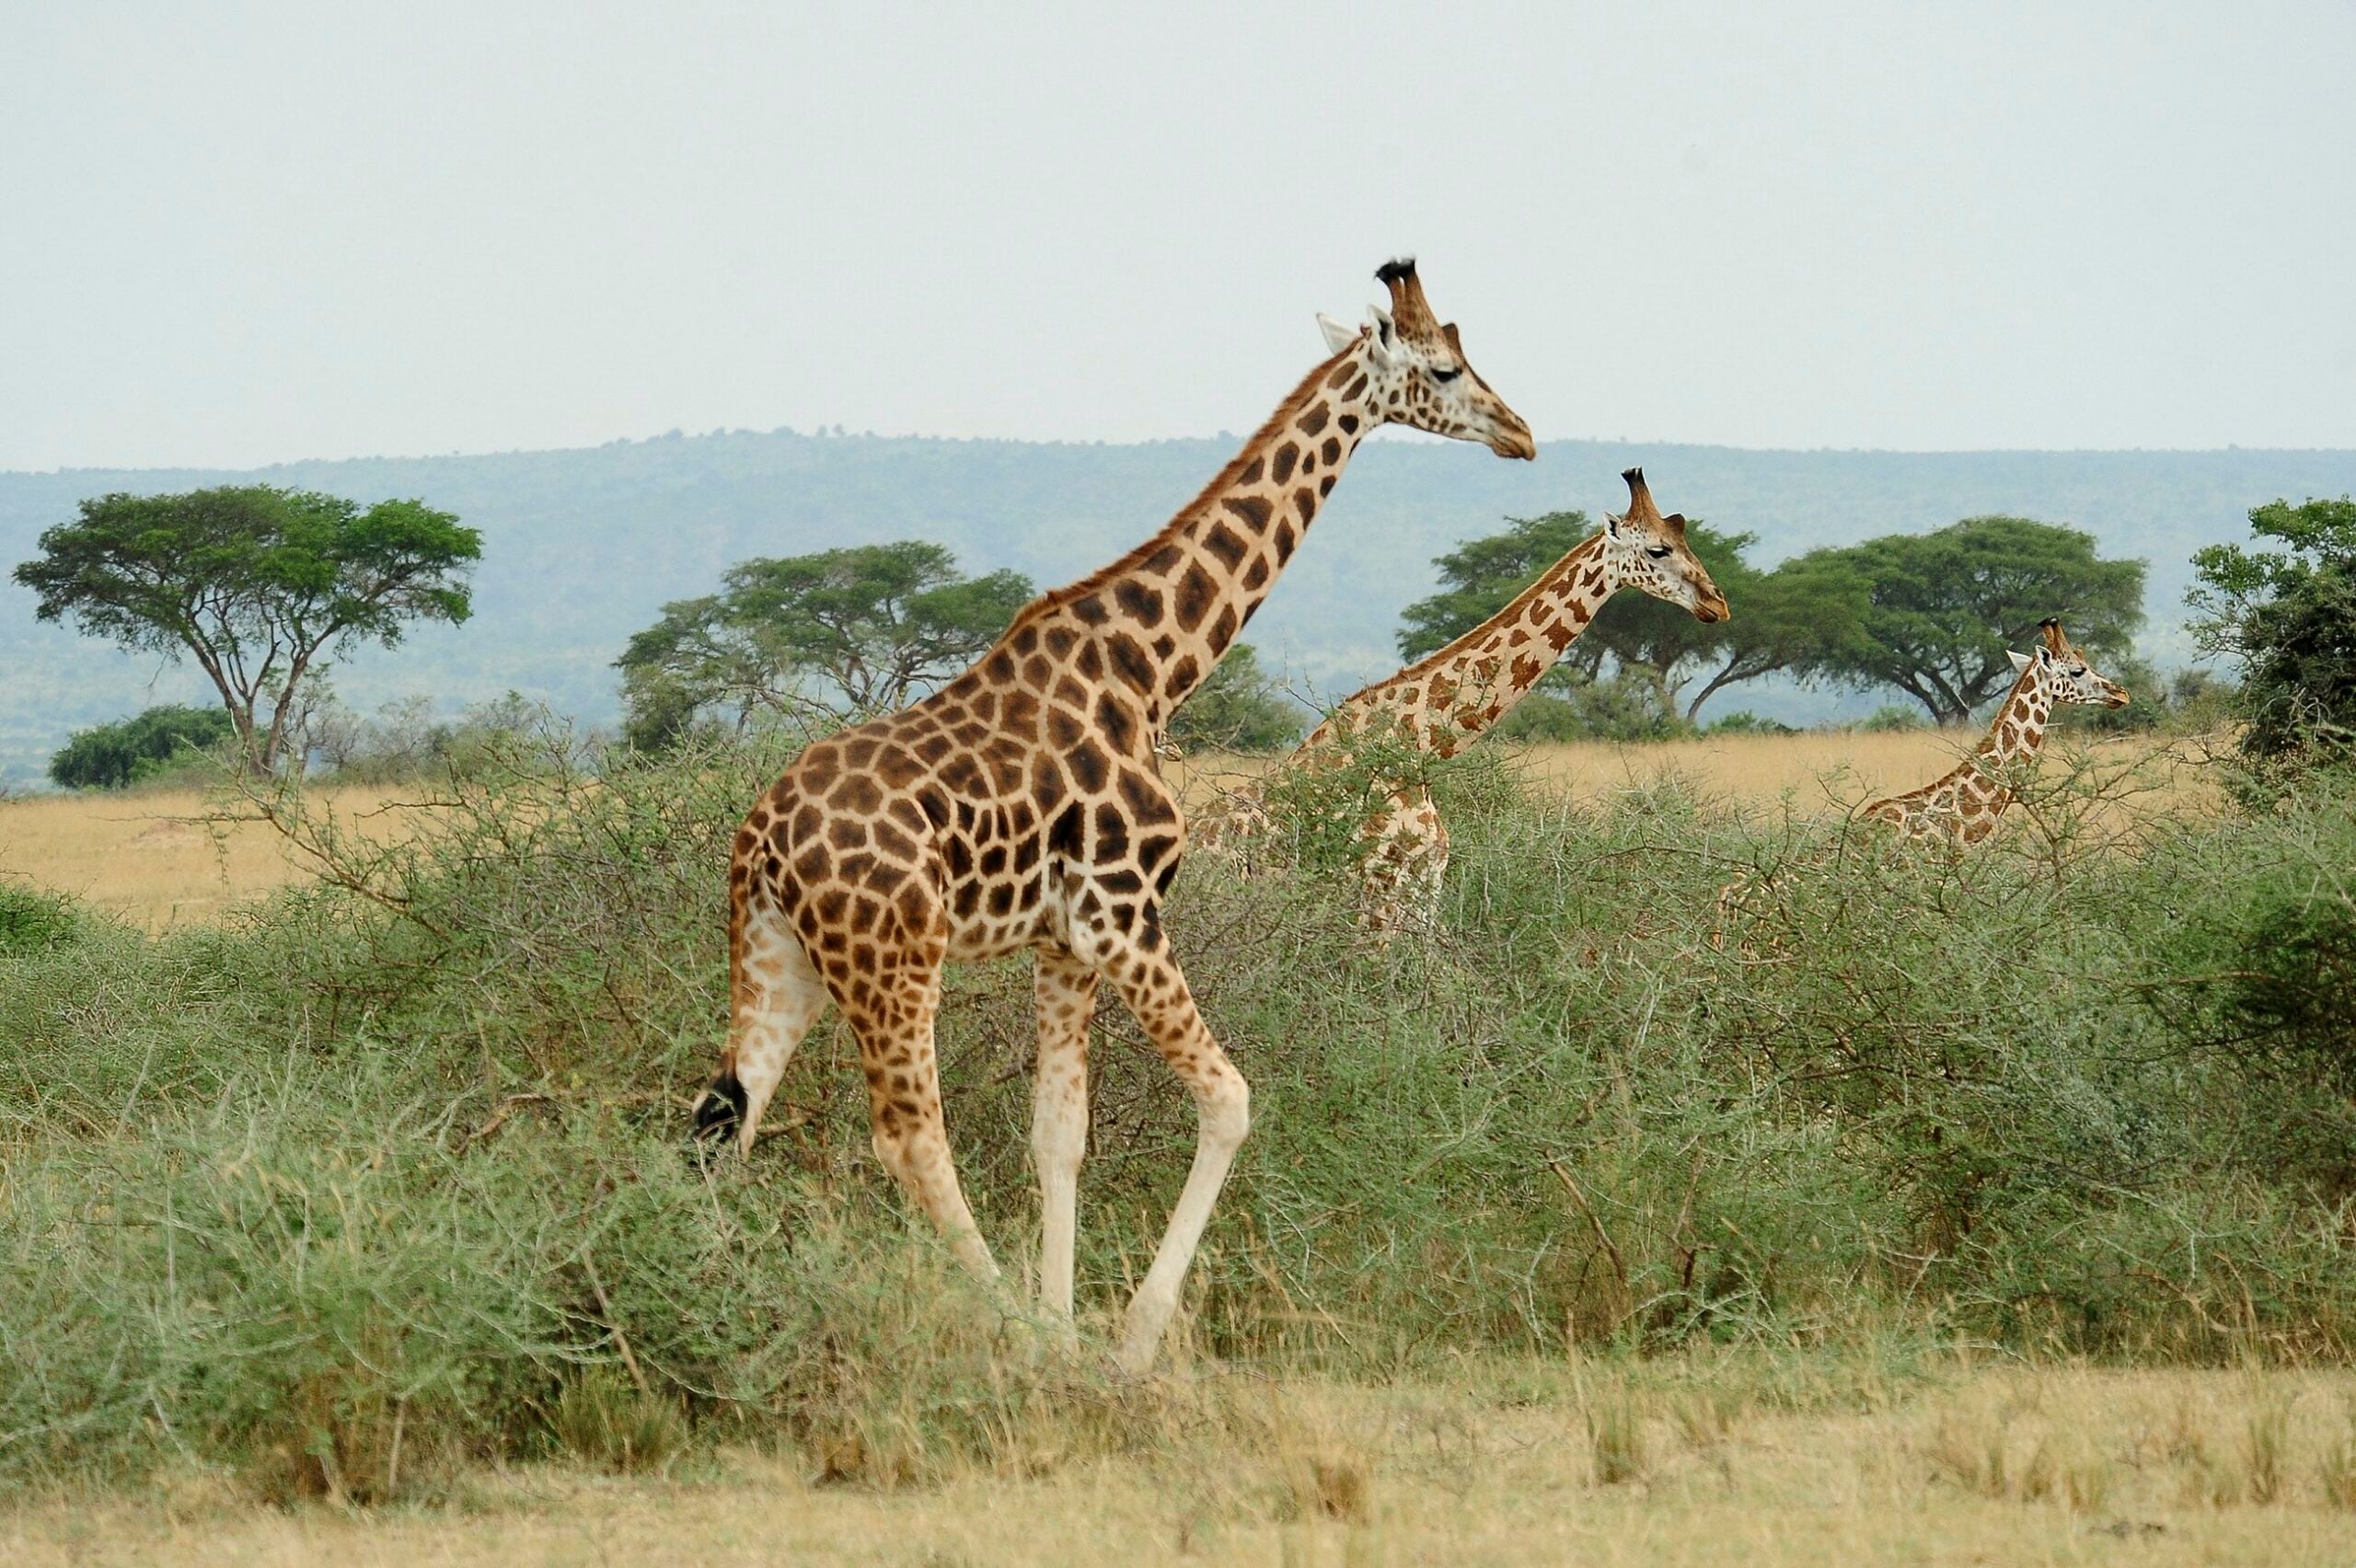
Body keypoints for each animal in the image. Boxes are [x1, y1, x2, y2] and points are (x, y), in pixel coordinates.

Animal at [691, 259, 1534, 1375]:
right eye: (1443, 368)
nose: (1521, 433)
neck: (1152, 668)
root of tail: (762, 841)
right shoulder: (1124, 911)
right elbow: (1228, 1099)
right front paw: (1122, 1338)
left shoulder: (1065, 939)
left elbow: (1060, 1134)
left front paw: (1067, 1319)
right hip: (895, 959)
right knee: (907, 1134)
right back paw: (1000, 1331)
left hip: (779, 959)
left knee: (725, 1116)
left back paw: (714, 1324)